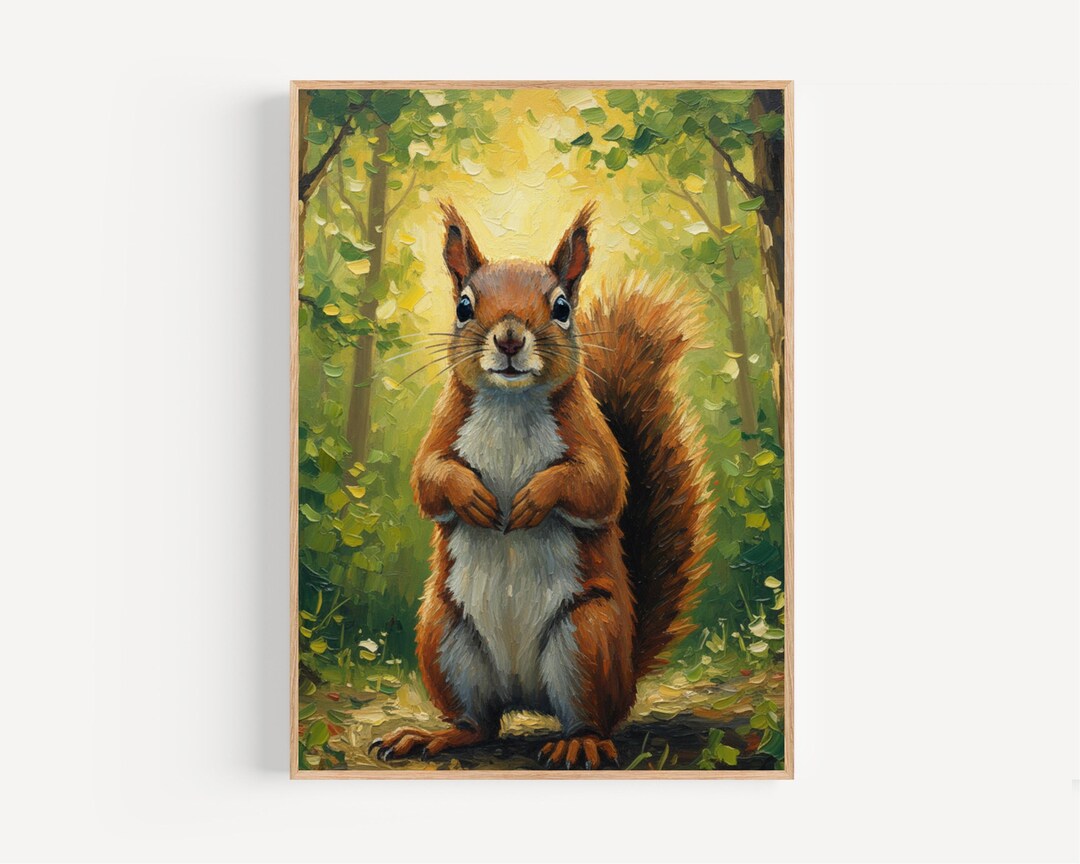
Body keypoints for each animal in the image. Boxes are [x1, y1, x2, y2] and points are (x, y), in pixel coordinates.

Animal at [371, 202, 714, 769]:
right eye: (463, 307)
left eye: (560, 307)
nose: (510, 339)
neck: (510, 401)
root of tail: (526, 696)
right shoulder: (443, 431)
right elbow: (428, 480)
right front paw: (473, 498)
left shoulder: (592, 439)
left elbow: (599, 485)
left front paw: (534, 498)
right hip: (444, 635)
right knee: (479, 723)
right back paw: (435, 736)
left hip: (588, 638)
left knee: (590, 716)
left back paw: (580, 742)